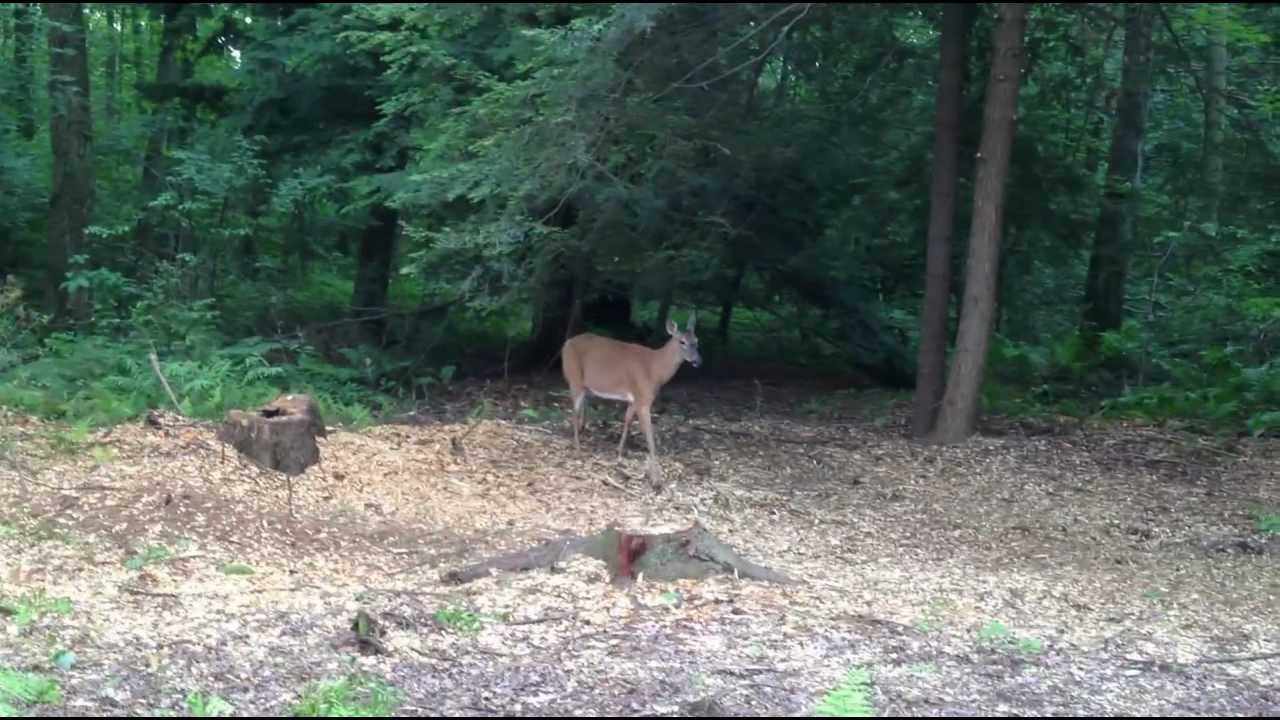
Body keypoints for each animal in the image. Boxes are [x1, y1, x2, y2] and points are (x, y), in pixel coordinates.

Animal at [561, 311, 701, 477]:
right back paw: (578, 450)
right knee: (573, 413)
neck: (655, 370)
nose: (698, 361)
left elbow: (627, 420)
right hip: (574, 377)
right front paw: (655, 472)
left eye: (697, 340)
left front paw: (619, 451)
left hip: (585, 386)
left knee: (582, 407)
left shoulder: (635, 399)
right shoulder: (644, 398)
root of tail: (566, 344)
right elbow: (648, 432)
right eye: (682, 342)